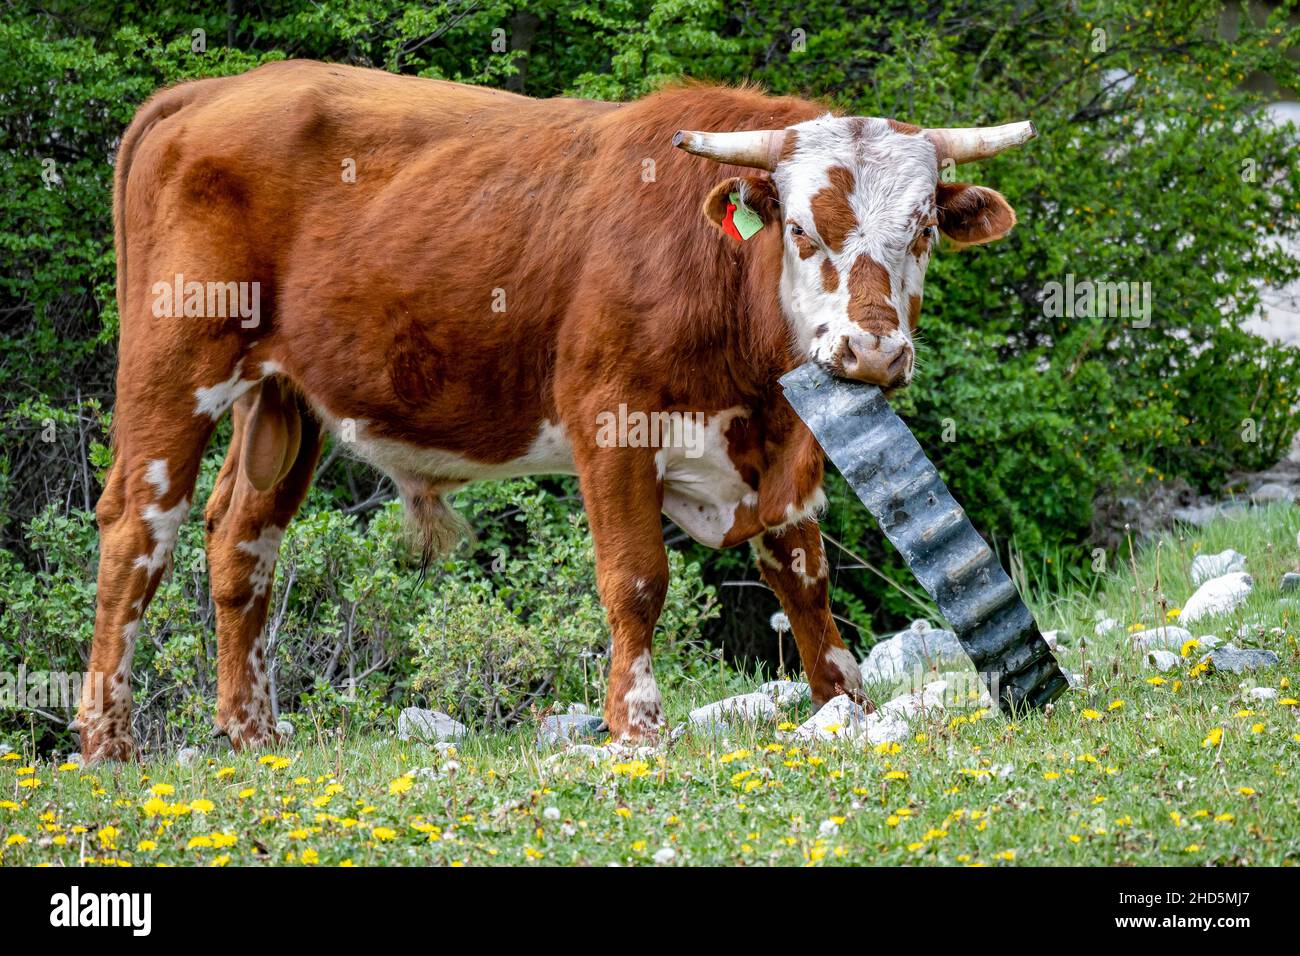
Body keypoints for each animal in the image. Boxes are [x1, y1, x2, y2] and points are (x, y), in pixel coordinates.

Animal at [76, 60, 1032, 762]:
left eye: (924, 229)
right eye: (801, 230)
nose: (871, 351)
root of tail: (212, 90)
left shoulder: (785, 444)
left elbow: (803, 577)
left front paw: (844, 705)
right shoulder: (608, 420)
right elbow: (637, 578)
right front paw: (636, 723)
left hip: (283, 397)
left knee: (241, 539)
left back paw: (253, 734)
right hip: (176, 361)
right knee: (136, 528)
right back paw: (108, 742)